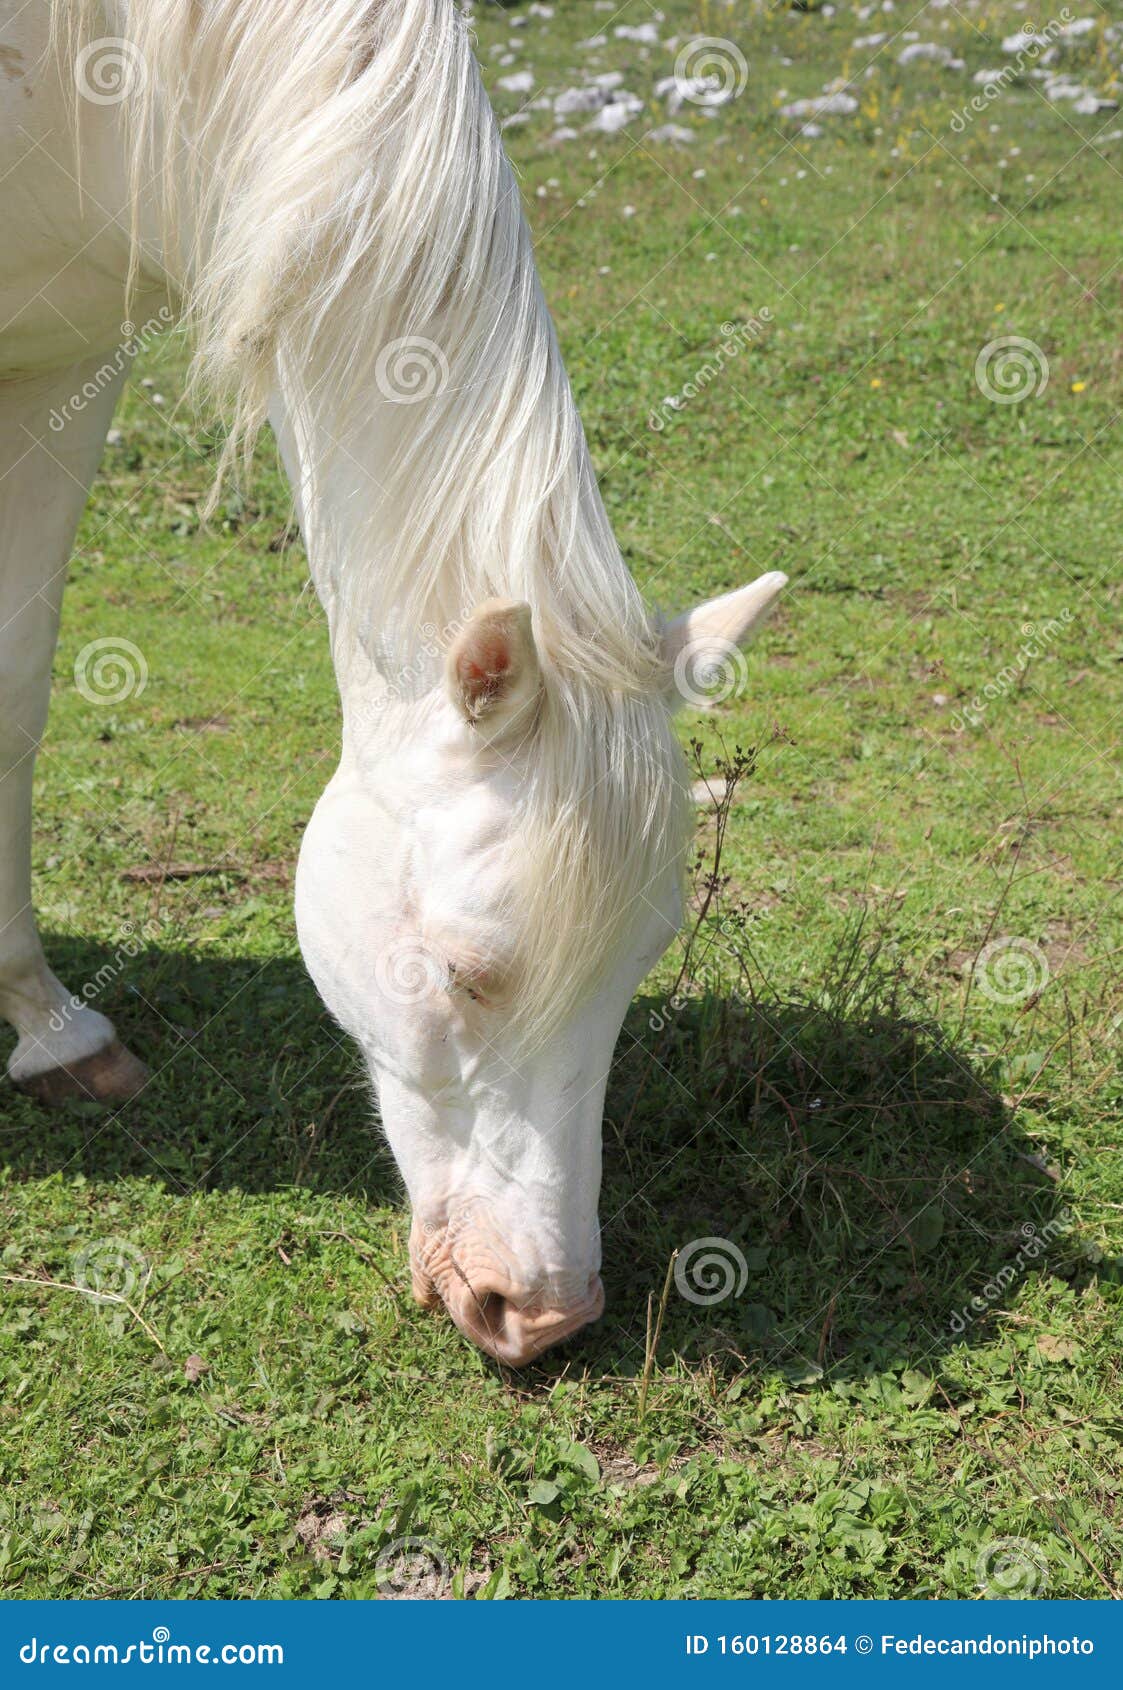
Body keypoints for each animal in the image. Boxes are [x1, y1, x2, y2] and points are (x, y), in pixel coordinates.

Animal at [0, 0, 786, 1365]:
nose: (541, 1310)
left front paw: (48, 1031)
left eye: (640, 965)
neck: (95, 67)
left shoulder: (61, 367)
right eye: (466, 974)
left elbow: (16, 688)